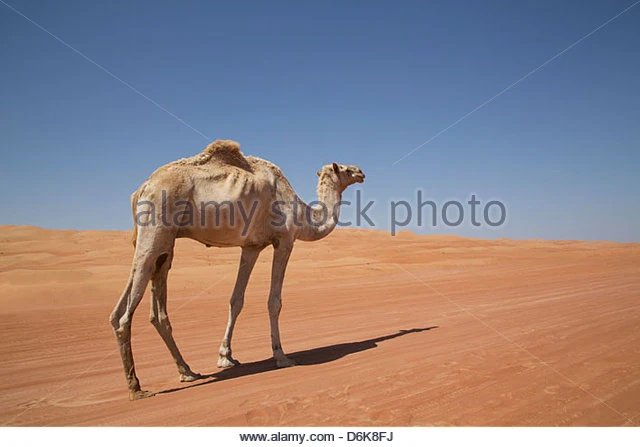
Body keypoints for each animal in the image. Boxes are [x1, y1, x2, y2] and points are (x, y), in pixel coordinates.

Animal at [109, 140, 365, 400]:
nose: (361, 172)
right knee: (125, 312)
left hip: (163, 245)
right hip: (155, 229)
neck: (303, 215)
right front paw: (281, 356)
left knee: (146, 307)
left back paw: (187, 371)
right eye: (345, 169)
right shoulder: (284, 241)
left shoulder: (251, 246)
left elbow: (236, 300)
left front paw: (226, 356)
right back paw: (137, 388)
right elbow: (274, 301)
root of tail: (141, 189)